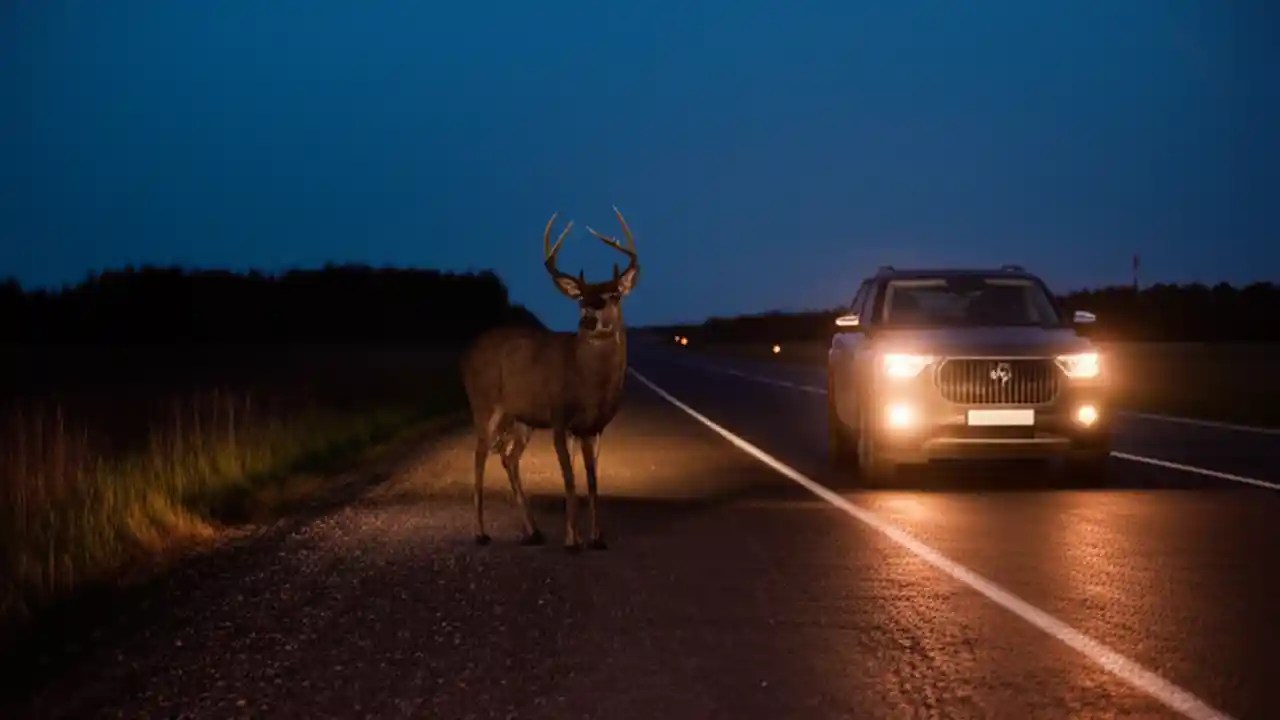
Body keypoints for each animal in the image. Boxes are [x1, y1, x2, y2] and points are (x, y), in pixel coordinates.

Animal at [459, 207, 639, 552]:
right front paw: (572, 540)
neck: (590, 386)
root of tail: (468, 350)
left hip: (521, 419)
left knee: (509, 459)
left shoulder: (593, 428)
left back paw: (534, 531)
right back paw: (480, 533)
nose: (588, 319)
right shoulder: (559, 418)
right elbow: (569, 479)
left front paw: (597, 537)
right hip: (484, 403)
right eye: (581, 298)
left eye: (613, 295)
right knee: (479, 457)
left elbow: (592, 481)